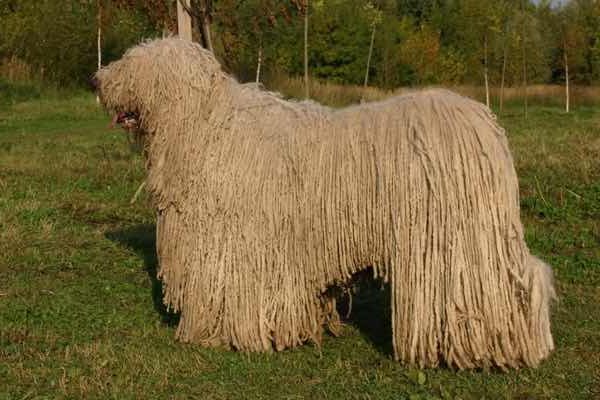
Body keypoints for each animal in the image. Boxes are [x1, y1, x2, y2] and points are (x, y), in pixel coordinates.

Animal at [95, 39, 556, 370]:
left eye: (132, 63)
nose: (96, 80)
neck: (205, 128)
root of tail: (484, 126)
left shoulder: (237, 245)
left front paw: (226, 337)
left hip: (455, 247)